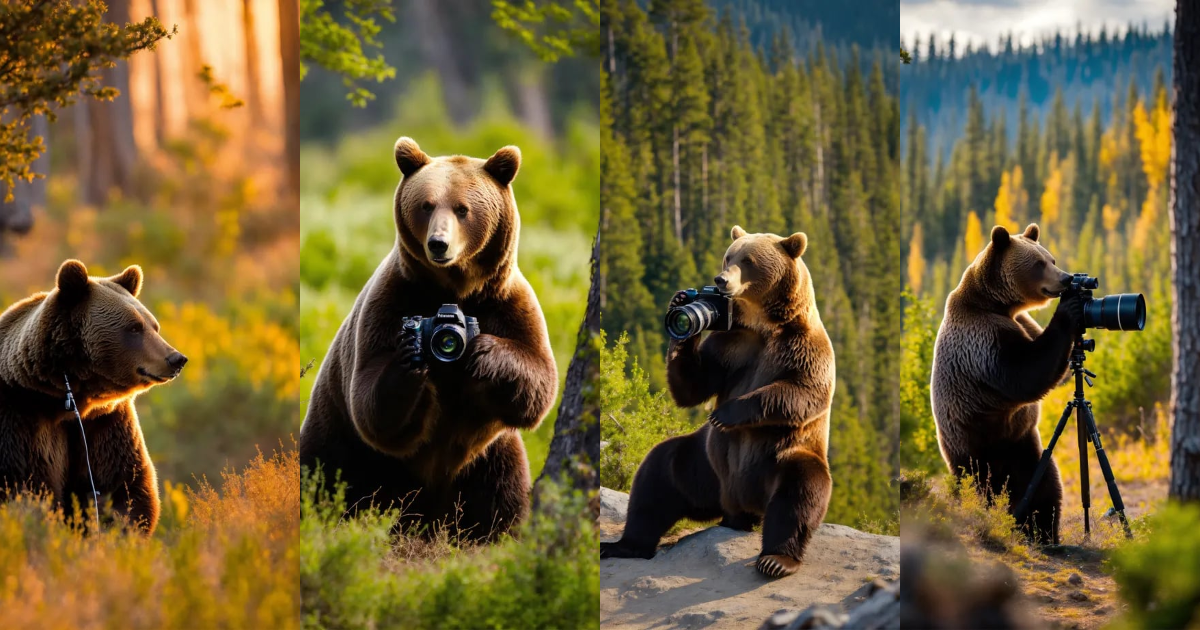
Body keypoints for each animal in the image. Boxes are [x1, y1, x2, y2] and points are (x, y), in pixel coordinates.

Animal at [0, 259, 187, 534]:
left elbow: (125, 485)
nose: (176, 359)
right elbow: (28, 487)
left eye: (154, 326)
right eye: (135, 327)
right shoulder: (21, 419)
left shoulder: (106, 422)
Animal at [298, 137, 558, 542]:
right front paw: (411, 364)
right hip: (345, 444)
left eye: (463, 208)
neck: (455, 291)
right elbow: (370, 397)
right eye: (426, 204)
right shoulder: (392, 300)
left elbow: (537, 381)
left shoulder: (508, 304)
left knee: (503, 500)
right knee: (322, 477)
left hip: (487, 461)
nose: (438, 244)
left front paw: (484, 353)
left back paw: (491, 536)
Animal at [600, 225, 836, 579]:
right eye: (729, 256)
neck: (763, 323)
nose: (721, 279)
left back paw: (776, 559)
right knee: (656, 475)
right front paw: (680, 313)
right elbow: (694, 385)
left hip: (779, 456)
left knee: (800, 491)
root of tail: (738, 507)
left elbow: (802, 392)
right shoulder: (731, 344)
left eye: (748, 260)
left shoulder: (802, 347)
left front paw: (724, 414)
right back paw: (624, 546)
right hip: (703, 465)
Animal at [930, 223, 1085, 545]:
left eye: (1051, 259)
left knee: (1044, 490)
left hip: (1025, 447)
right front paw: (1069, 311)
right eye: (1039, 264)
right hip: (973, 445)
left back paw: (1042, 532)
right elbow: (1024, 374)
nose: (1065, 278)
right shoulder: (982, 339)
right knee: (980, 485)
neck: (997, 306)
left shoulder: (1022, 322)